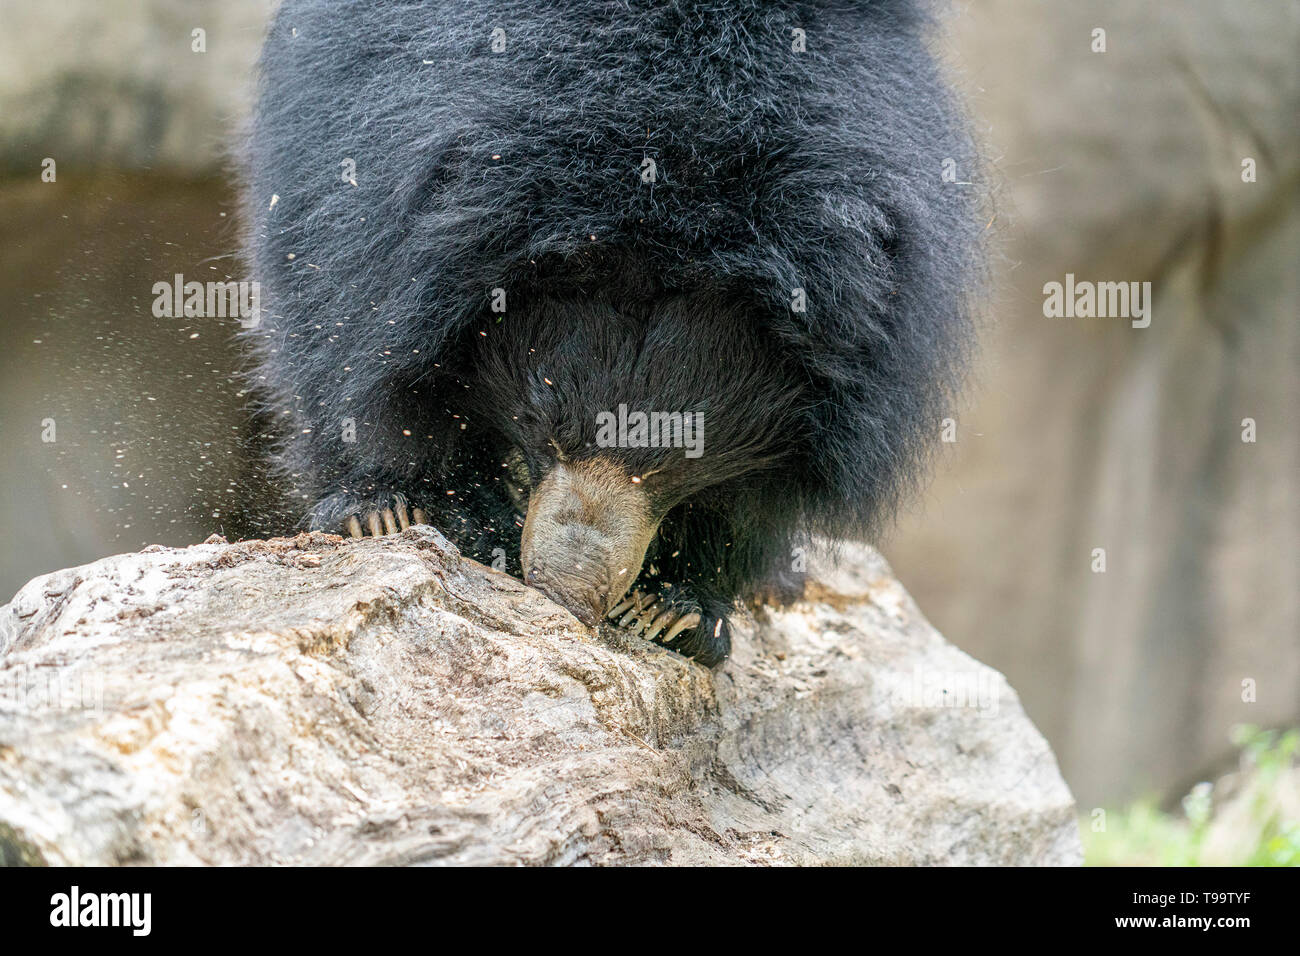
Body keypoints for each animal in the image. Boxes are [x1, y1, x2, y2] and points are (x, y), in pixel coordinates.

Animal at [242, 0, 982, 666]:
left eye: (684, 453)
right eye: (543, 423)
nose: (566, 594)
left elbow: (761, 499)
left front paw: (677, 613)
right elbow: (368, 353)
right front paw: (409, 512)